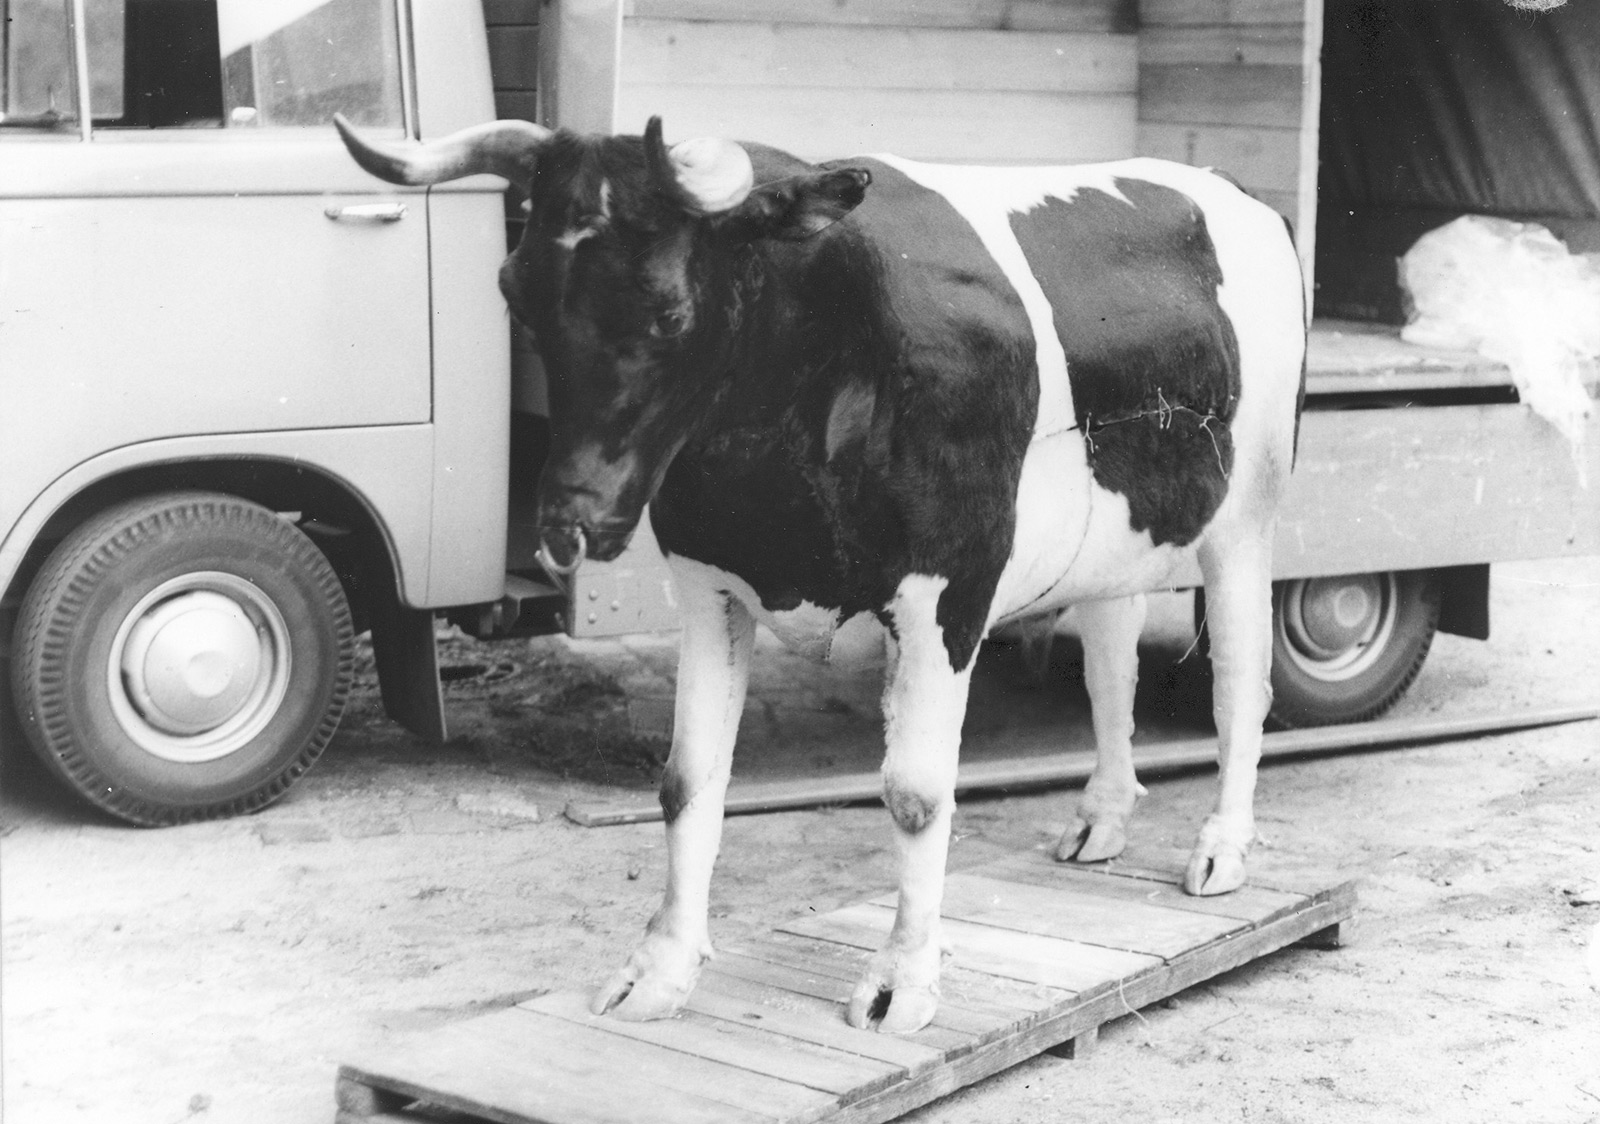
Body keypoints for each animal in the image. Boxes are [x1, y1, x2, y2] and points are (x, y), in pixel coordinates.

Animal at [336, 114, 1308, 1035]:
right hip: (1120, 541)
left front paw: (901, 984)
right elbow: (688, 781)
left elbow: (916, 792)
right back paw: (1100, 820)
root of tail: (1232, 190)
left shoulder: (948, 589)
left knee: (1239, 687)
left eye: (670, 311)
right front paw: (659, 973)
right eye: (517, 295)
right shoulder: (708, 586)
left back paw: (1221, 850)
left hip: (1247, 519)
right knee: (1112, 668)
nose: (571, 519)